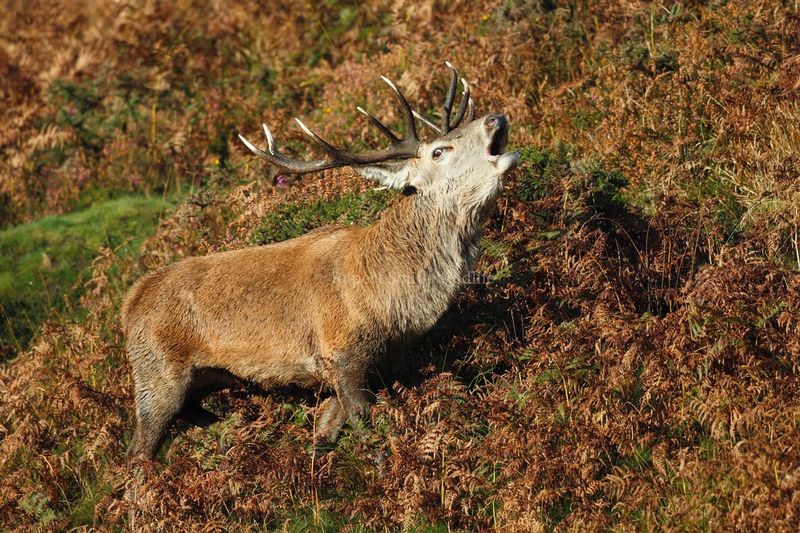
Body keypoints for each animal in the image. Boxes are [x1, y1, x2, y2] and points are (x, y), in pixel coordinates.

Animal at [123, 62, 519, 458]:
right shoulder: (341, 355)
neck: (391, 303)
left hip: (197, 383)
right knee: (138, 455)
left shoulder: (380, 365)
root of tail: (130, 302)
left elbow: (325, 433)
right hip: (157, 375)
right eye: (439, 151)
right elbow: (367, 429)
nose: (495, 118)